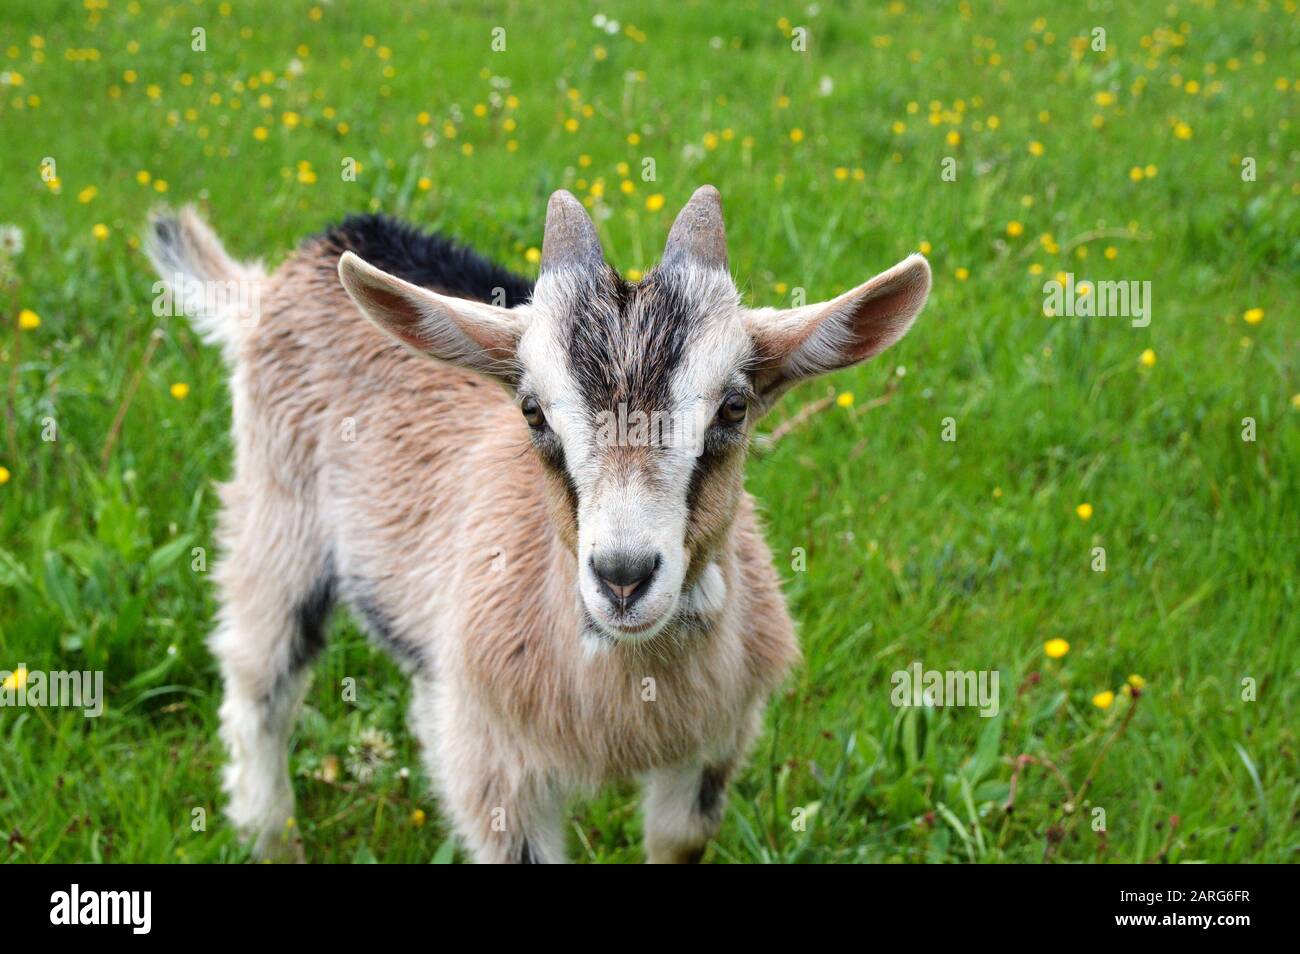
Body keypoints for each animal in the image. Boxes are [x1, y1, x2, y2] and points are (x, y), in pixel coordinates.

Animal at [146, 187, 930, 863]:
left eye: (733, 408)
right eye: (532, 411)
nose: (622, 578)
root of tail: (277, 281)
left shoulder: (711, 747)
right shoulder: (500, 772)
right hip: (278, 515)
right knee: (257, 680)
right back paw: (270, 836)